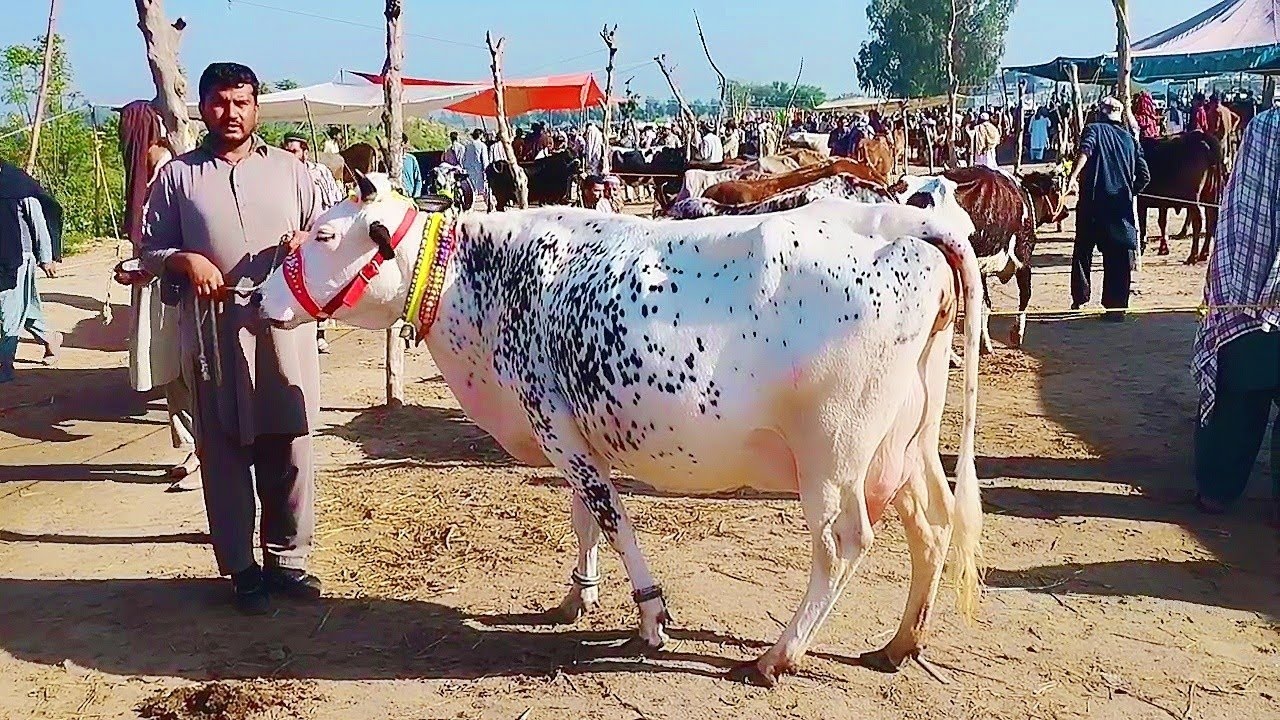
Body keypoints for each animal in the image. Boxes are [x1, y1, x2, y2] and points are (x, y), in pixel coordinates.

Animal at [257, 172, 984, 689]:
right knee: (933, 524)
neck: (487, 283)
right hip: (907, 441)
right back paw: (899, 644)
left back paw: (777, 657)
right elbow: (584, 514)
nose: (256, 296)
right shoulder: (572, 434)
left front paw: (651, 618)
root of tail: (904, 227)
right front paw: (575, 597)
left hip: (832, 455)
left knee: (842, 543)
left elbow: (612, 519)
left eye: (323, 237)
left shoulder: (554, 422)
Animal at [895, 166, 1065, 353]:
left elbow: (984, 304)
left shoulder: (980, 268)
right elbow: (1025, 295)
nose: (1065, 211)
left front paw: (984, 342)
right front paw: (1016, 335)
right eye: (1056, 189)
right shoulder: (1022, 259)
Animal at [1139, 131, 1224, 264]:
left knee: (1198, 222)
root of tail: (1202, 136)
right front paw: (1163, 248)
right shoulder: (1162, 203)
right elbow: (1162, 222)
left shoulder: (1141, 202)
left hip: (1193, 197)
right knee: (1211, 221)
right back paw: (1203, 254)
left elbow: (1142, 225)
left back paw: (1193, 256)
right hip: (1210, 194)